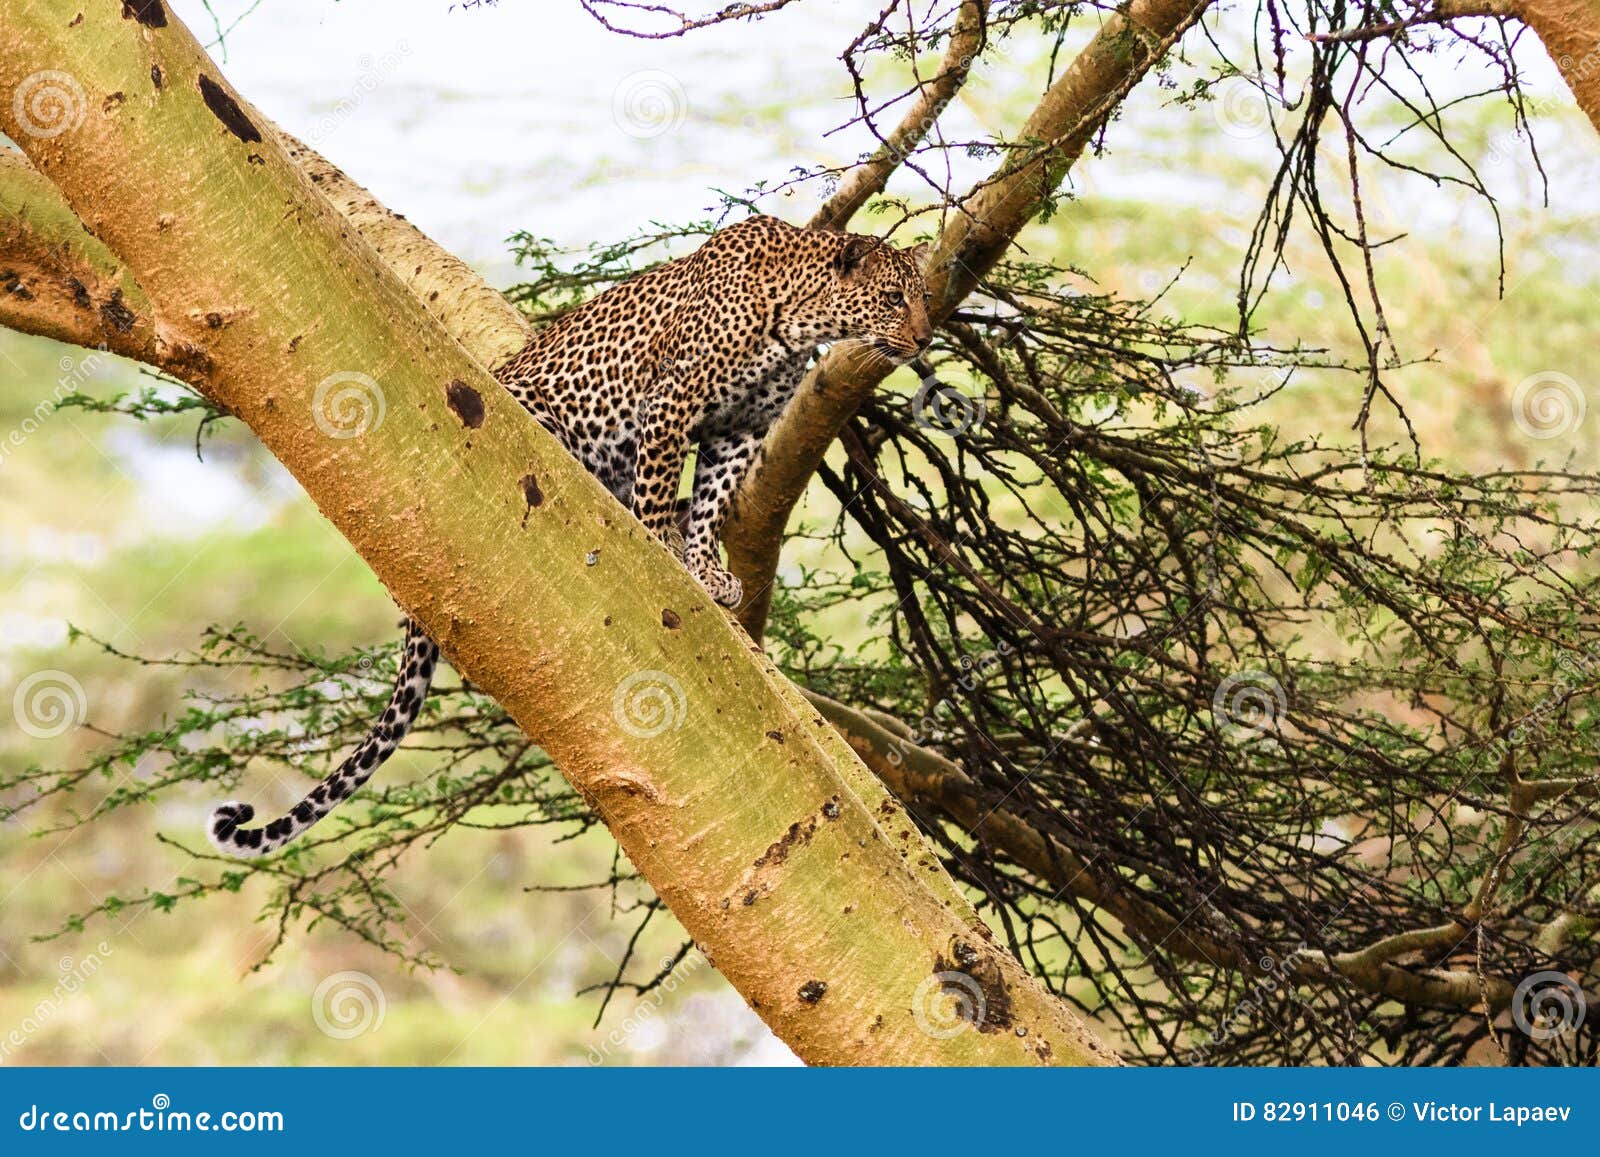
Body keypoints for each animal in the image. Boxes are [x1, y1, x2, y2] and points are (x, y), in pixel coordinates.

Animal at [207, 214, 933, 857]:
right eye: (892, 298)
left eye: (924, 298)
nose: (925, 340)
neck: (799, 320)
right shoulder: (672, 405)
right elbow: (661, 492)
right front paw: (671, 553)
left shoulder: (741, 429)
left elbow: (712, 502)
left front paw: (708, 568)